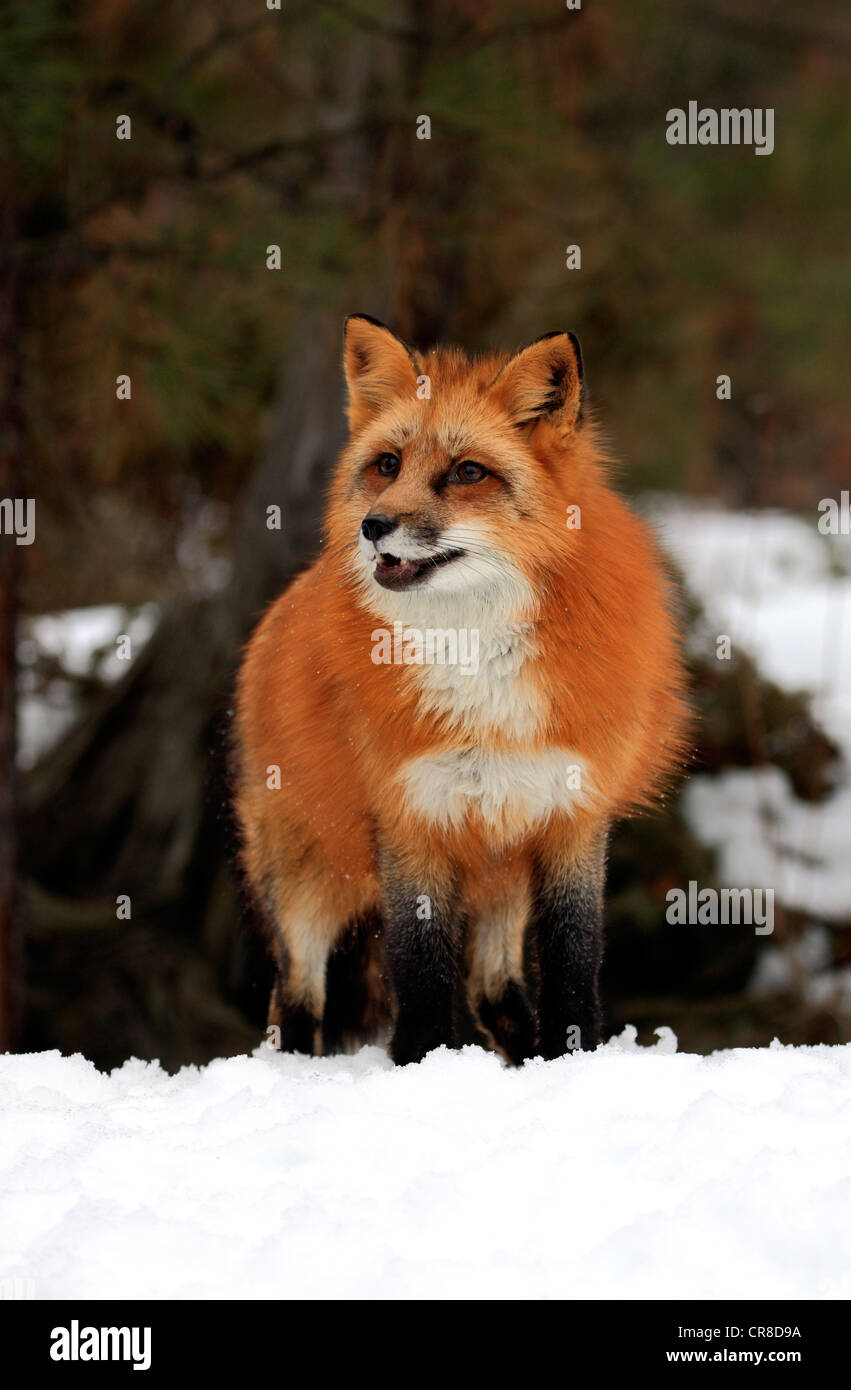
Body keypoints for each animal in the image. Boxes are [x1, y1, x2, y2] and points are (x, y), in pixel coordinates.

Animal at [234, 314, 689, 1065]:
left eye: (467, 473)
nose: (374, 526)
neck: (477, 661)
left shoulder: (572, 814)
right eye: (387, 465)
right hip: (306, 878)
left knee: (492, 989)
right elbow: (419, 978)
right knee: (294, 997)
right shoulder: (411, 815)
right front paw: (424, 1068)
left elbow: (573, 962)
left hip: (499, 870)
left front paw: (573, 1061)